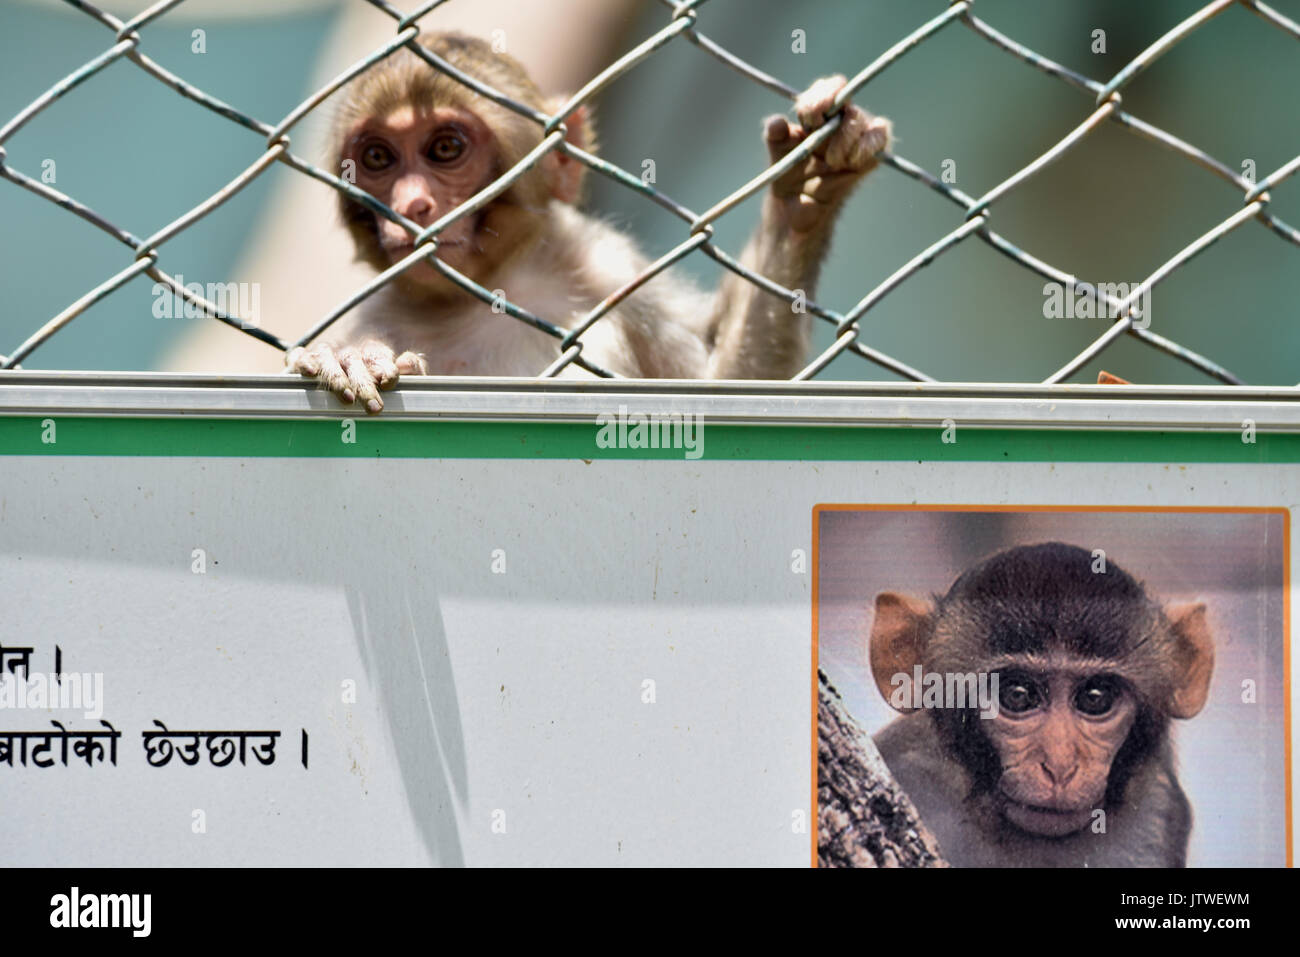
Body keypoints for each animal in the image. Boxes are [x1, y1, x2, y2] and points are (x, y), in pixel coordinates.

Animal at [287, 33, 892, 411]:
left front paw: (809, 188)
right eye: (378, 158)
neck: (493, 288)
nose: (412, 205)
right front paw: (348, 358)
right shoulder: (378, 310)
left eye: (444, 149)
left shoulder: (610, 267)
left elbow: (729, 387)